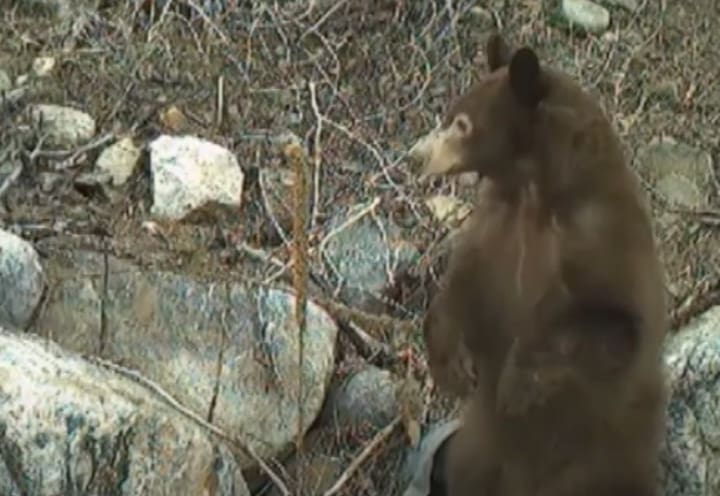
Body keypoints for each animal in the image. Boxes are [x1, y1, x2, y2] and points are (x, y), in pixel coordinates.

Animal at [409, 32, 668, 496]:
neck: (532, 195)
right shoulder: (494, 232)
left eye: (461, 124)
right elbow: (461, 291)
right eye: (449, 116)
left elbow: (609, 324)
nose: (415, 156)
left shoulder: (604, 242)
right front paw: (450, 366)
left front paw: (518, 381)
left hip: (606, 463)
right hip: (478, 450)